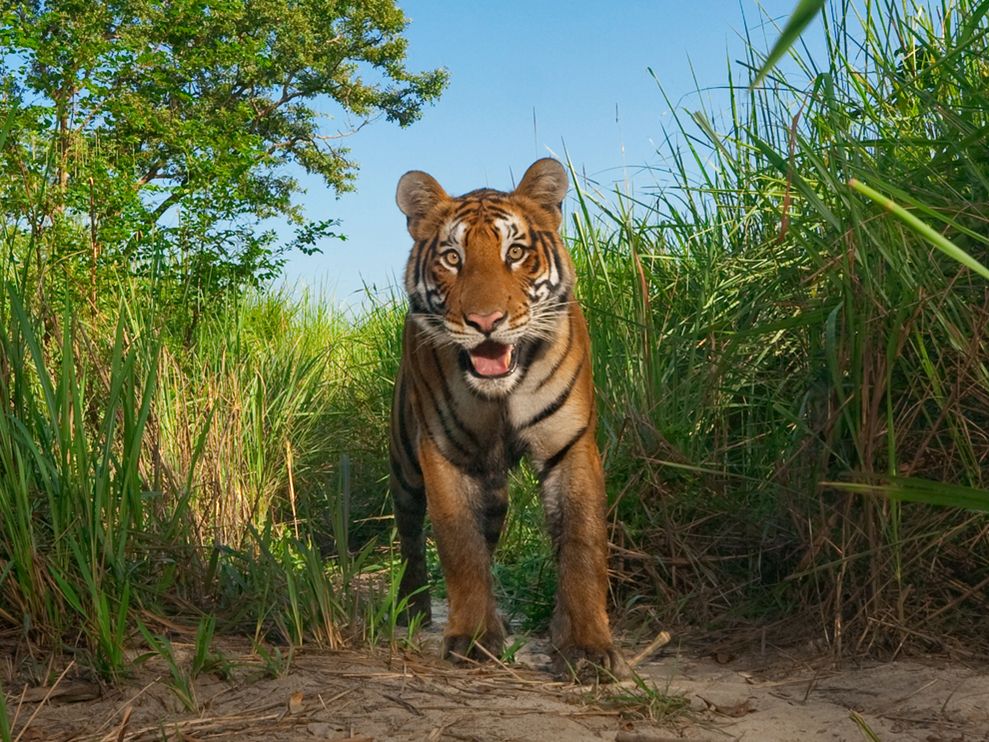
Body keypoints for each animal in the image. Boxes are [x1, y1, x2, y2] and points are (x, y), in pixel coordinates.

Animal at [389, 158, 628, 681]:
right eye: (452, 257)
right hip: (406, 466)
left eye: (515, 252)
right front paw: (474, 638)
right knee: (411, 535)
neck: (501, 395)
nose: (485, 322)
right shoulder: (443, 455)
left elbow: (582, 546)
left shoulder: (570, 446)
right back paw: (412, 608)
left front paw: (586, 646)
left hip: (494, 490)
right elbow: (460, 549)